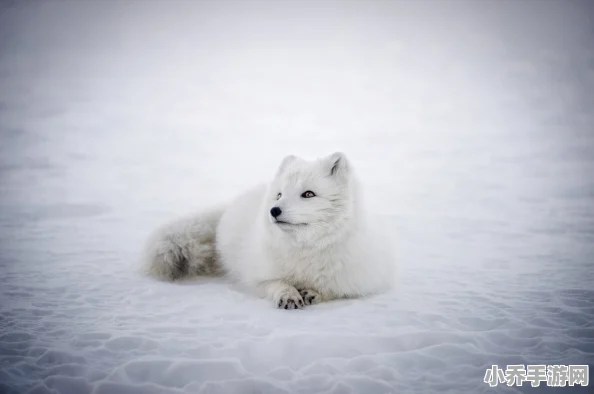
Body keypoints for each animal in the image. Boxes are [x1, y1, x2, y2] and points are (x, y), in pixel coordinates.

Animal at [142, 152, 394, 310]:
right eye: (280, 195)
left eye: (308, 194)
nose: (274, 210)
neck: (305, 250)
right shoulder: (257, 277)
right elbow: (275, 283)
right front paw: (288, 294)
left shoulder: (361, 281)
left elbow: (335, 290)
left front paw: (314, 293)